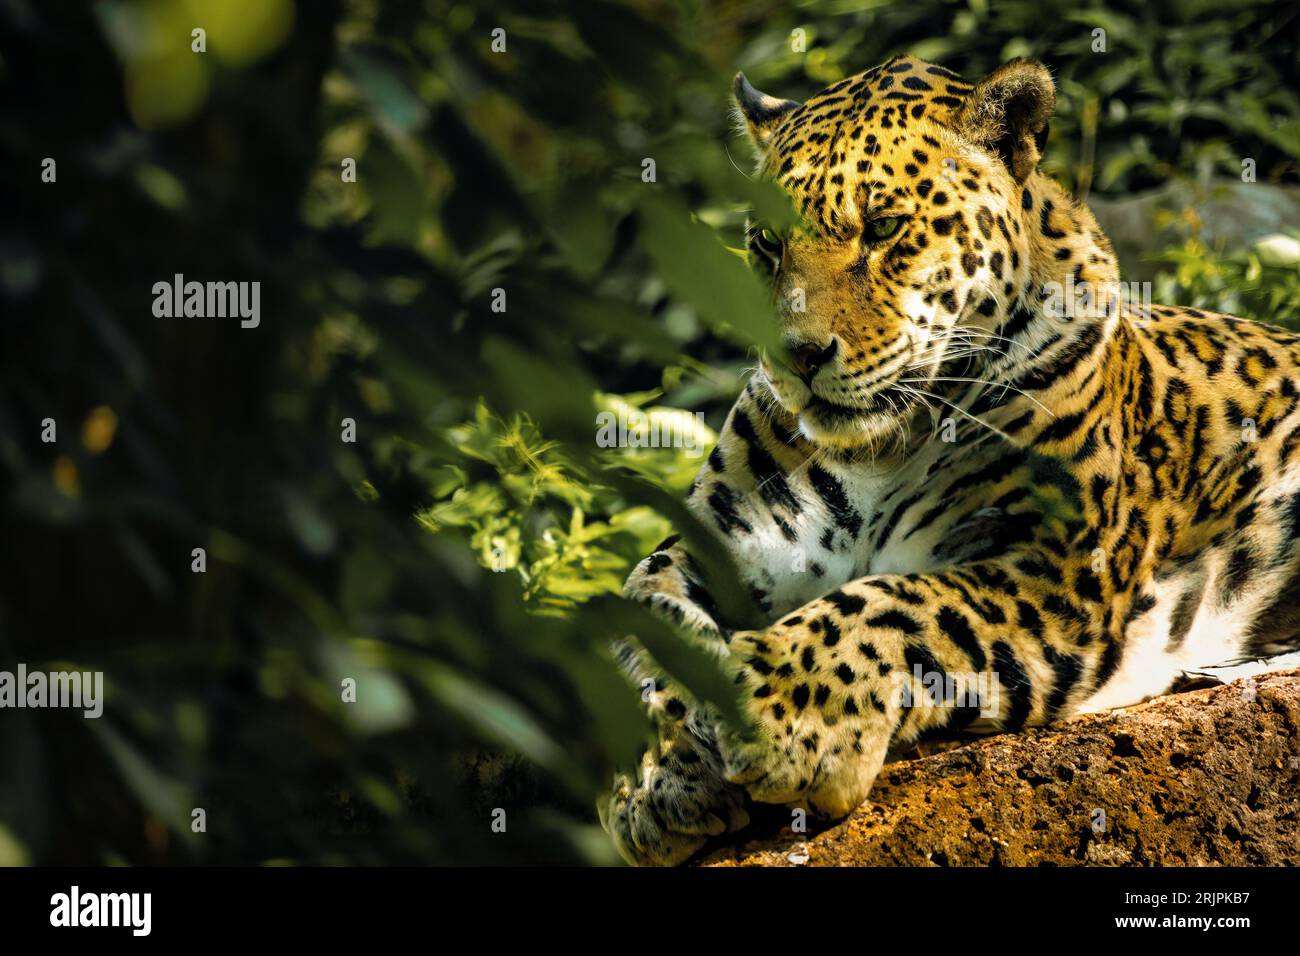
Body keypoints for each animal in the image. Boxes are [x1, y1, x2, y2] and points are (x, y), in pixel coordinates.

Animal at [599, 53, 1300, 866]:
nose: (796, 356)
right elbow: (646, 621)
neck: (877, 450)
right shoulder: (706, 543)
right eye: (768, 243)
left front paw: (785, 719)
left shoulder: (1061, 570)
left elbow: (900, 599)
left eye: (882, 227)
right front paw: (661, 778)